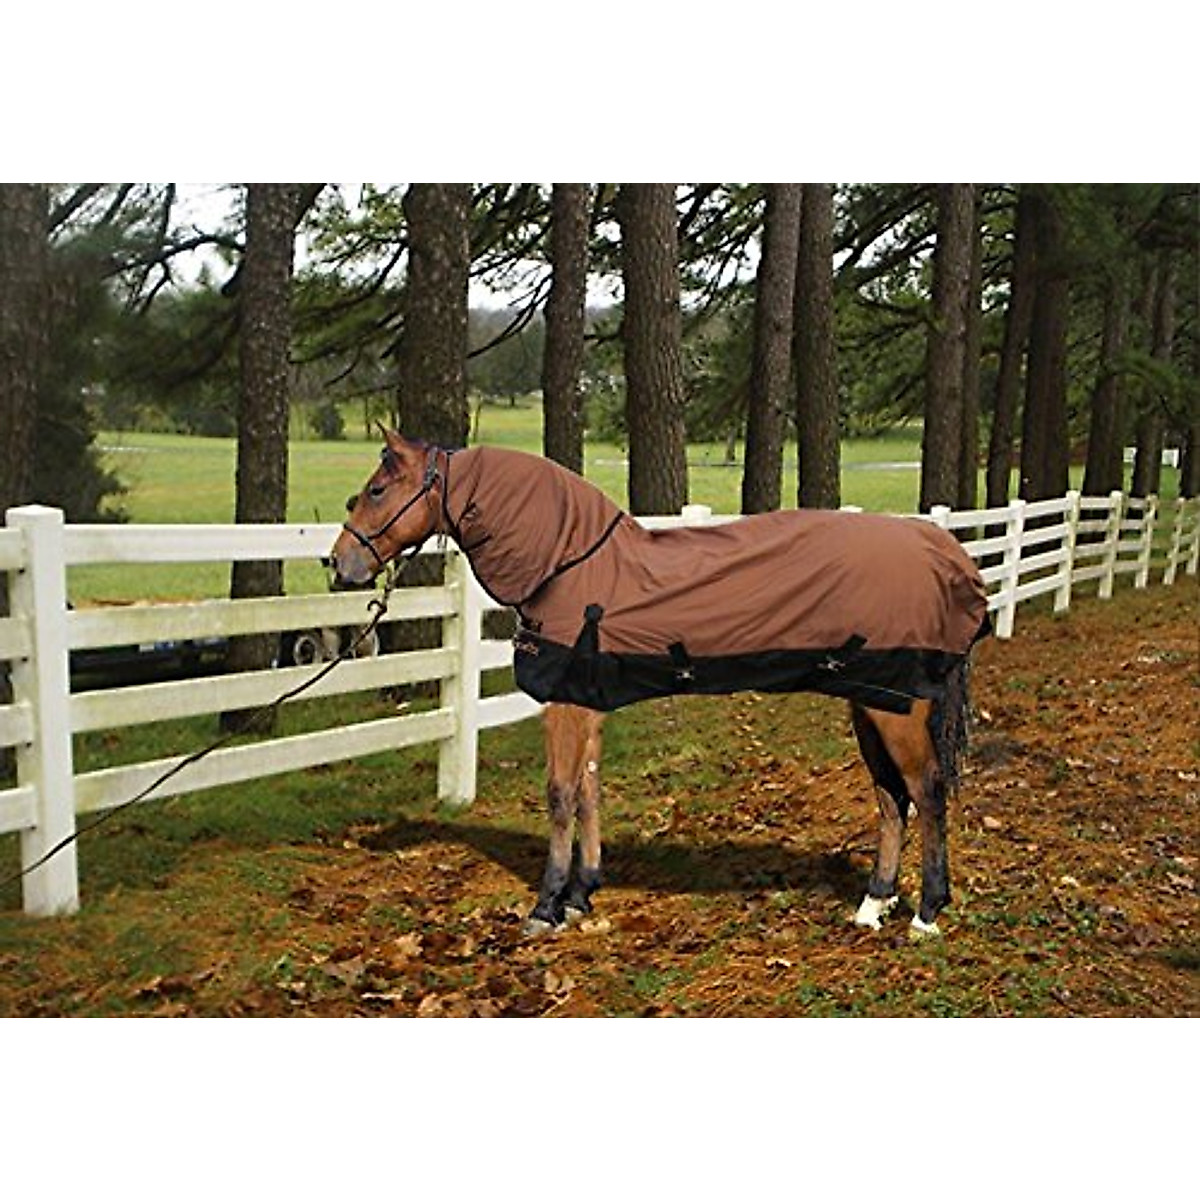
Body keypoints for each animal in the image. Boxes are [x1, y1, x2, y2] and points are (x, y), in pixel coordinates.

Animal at [330, 429, 990, 939]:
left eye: (378, 489)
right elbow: (589, 789)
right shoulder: (587, 705)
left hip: (897, 709)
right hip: (871, 701)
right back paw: (873, 903)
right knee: (890, 797)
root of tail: (944, 553)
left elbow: (561, 795)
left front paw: (546, 906)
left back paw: (927, 911)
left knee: (926, 791)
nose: (339, 564)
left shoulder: (565, 705)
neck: (567, 563)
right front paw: (582, 894)